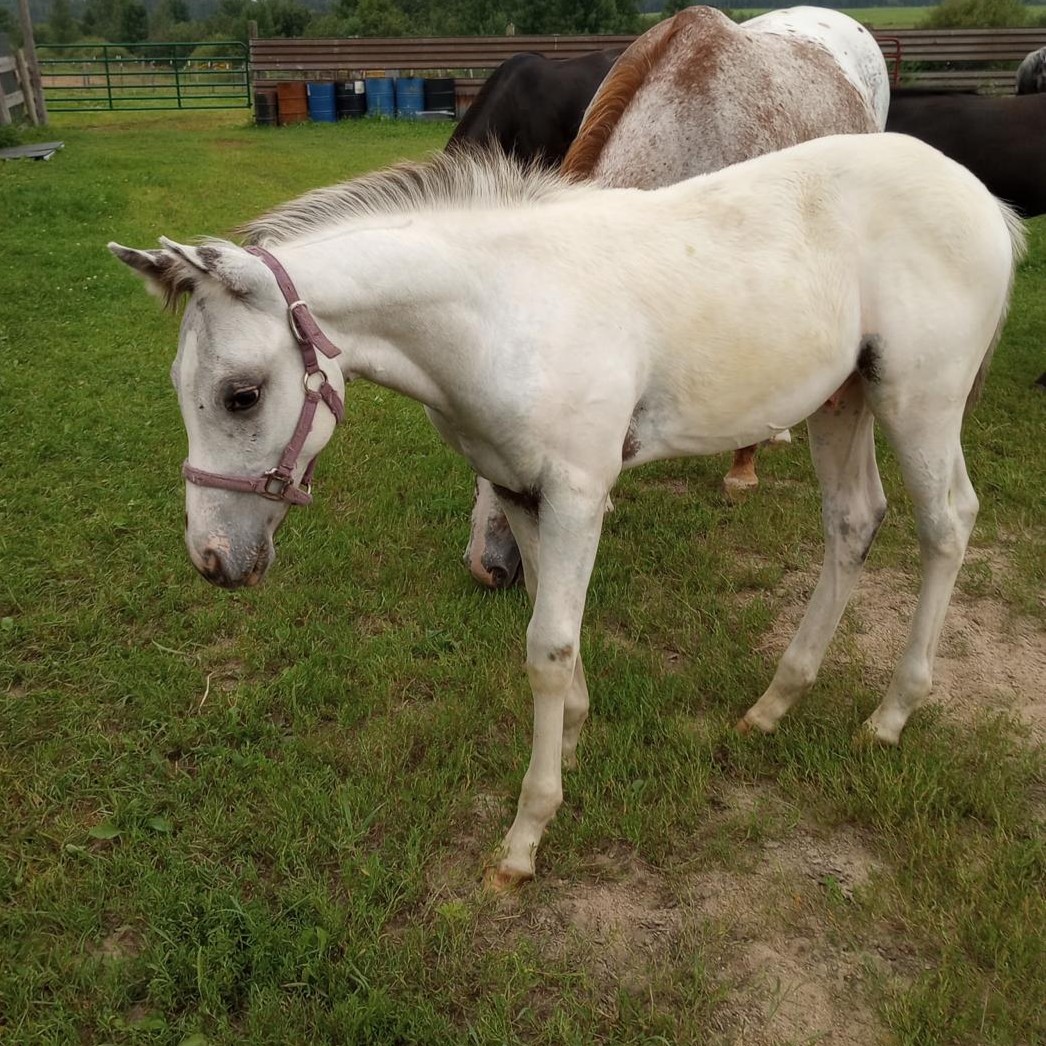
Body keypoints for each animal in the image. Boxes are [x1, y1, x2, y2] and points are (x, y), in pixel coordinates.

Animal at [110, 132, 1023, 887]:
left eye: (241, 394)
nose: (213, 559)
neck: (500, 310)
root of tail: (985, 199)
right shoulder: (521, 491)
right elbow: (556, 634)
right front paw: (577, 744)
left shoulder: (582, 494)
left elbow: (546, 646)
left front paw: (524, 839)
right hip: (842, 400)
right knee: (854, 522)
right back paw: (772, 706)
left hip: (920, 400)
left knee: (947, 524)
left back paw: (891, 715)